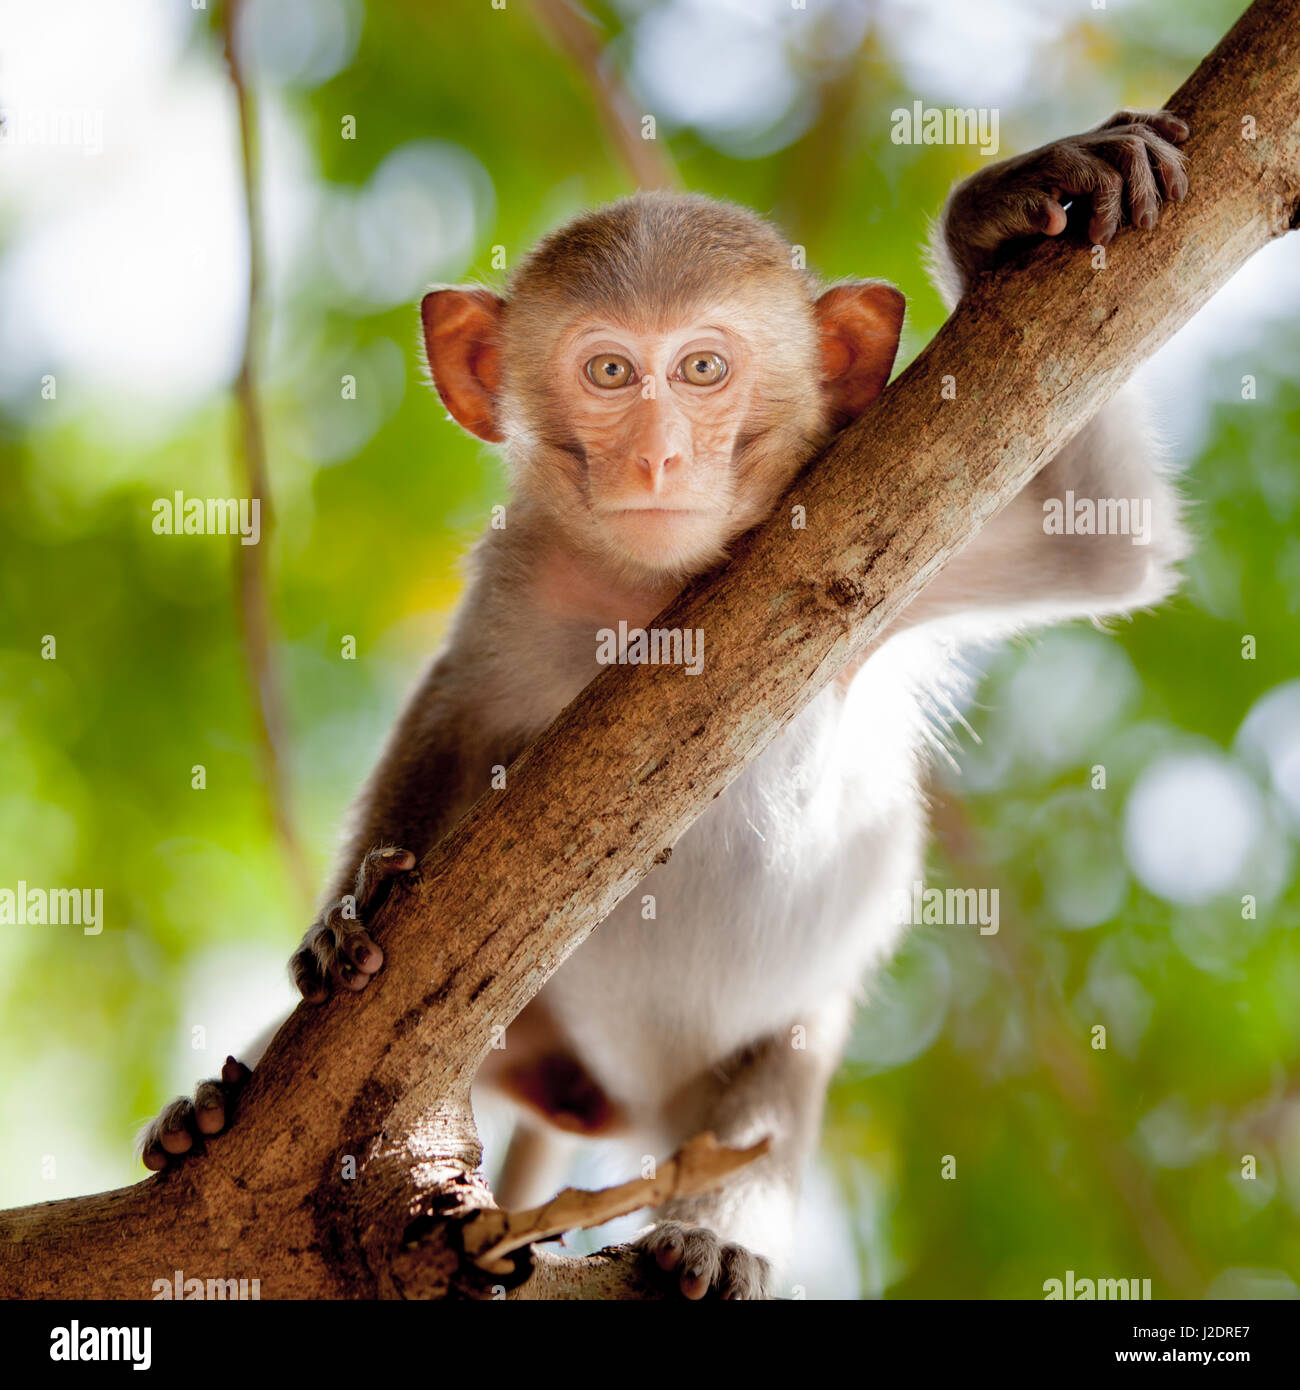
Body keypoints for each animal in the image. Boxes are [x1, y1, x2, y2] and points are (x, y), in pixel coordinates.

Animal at [140, 111, 1190, 1300]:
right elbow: (449, 726)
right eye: (608, 371)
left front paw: (1002, 208)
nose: (655, 456)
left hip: (757, 1057)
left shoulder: (891, 536)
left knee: (764, 1106)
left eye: (701, 368)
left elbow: (1097, 538)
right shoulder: (516, 581)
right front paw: (353, 910)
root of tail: (607, 1098)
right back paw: (215, 1106)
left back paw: (714, 1235)